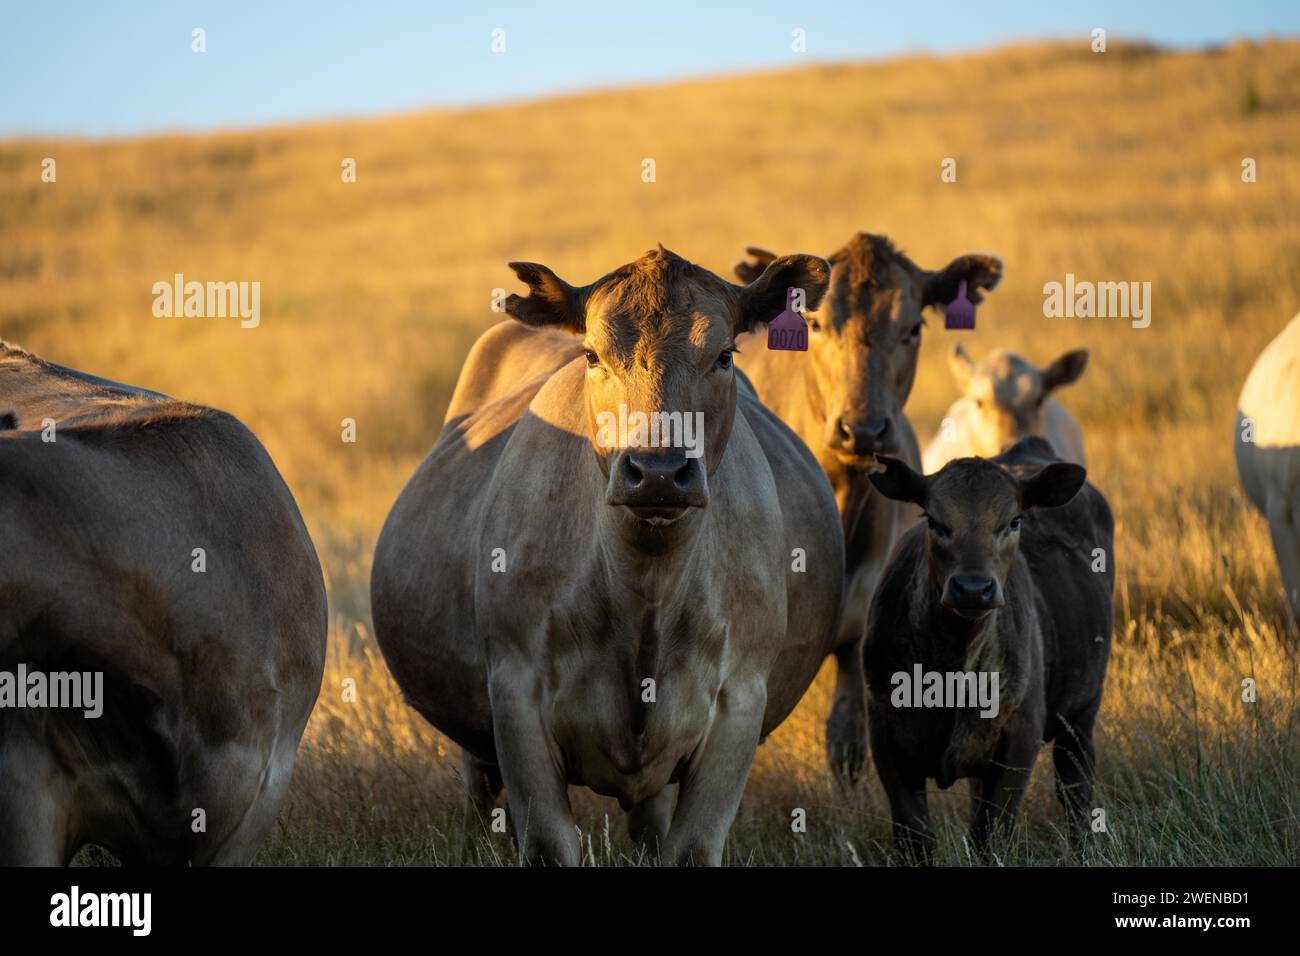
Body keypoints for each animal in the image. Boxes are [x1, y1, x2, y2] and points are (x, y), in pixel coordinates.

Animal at [370, 246, 844, 866]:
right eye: (593, 355)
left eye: (723, 355)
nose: (659, 471)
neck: (645, 589)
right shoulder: (516, 692)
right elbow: (548, 844)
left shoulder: (740, 702)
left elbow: (691, 848)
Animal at [862, 437, 1113, 862]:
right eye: (934, 521)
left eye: (1013, 522)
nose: (973, 588)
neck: (951, 670)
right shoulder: (887, 742)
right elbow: (917, 838)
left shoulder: (1019, 742)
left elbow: (991, 836)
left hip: (1081, 713)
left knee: (1075, 789)